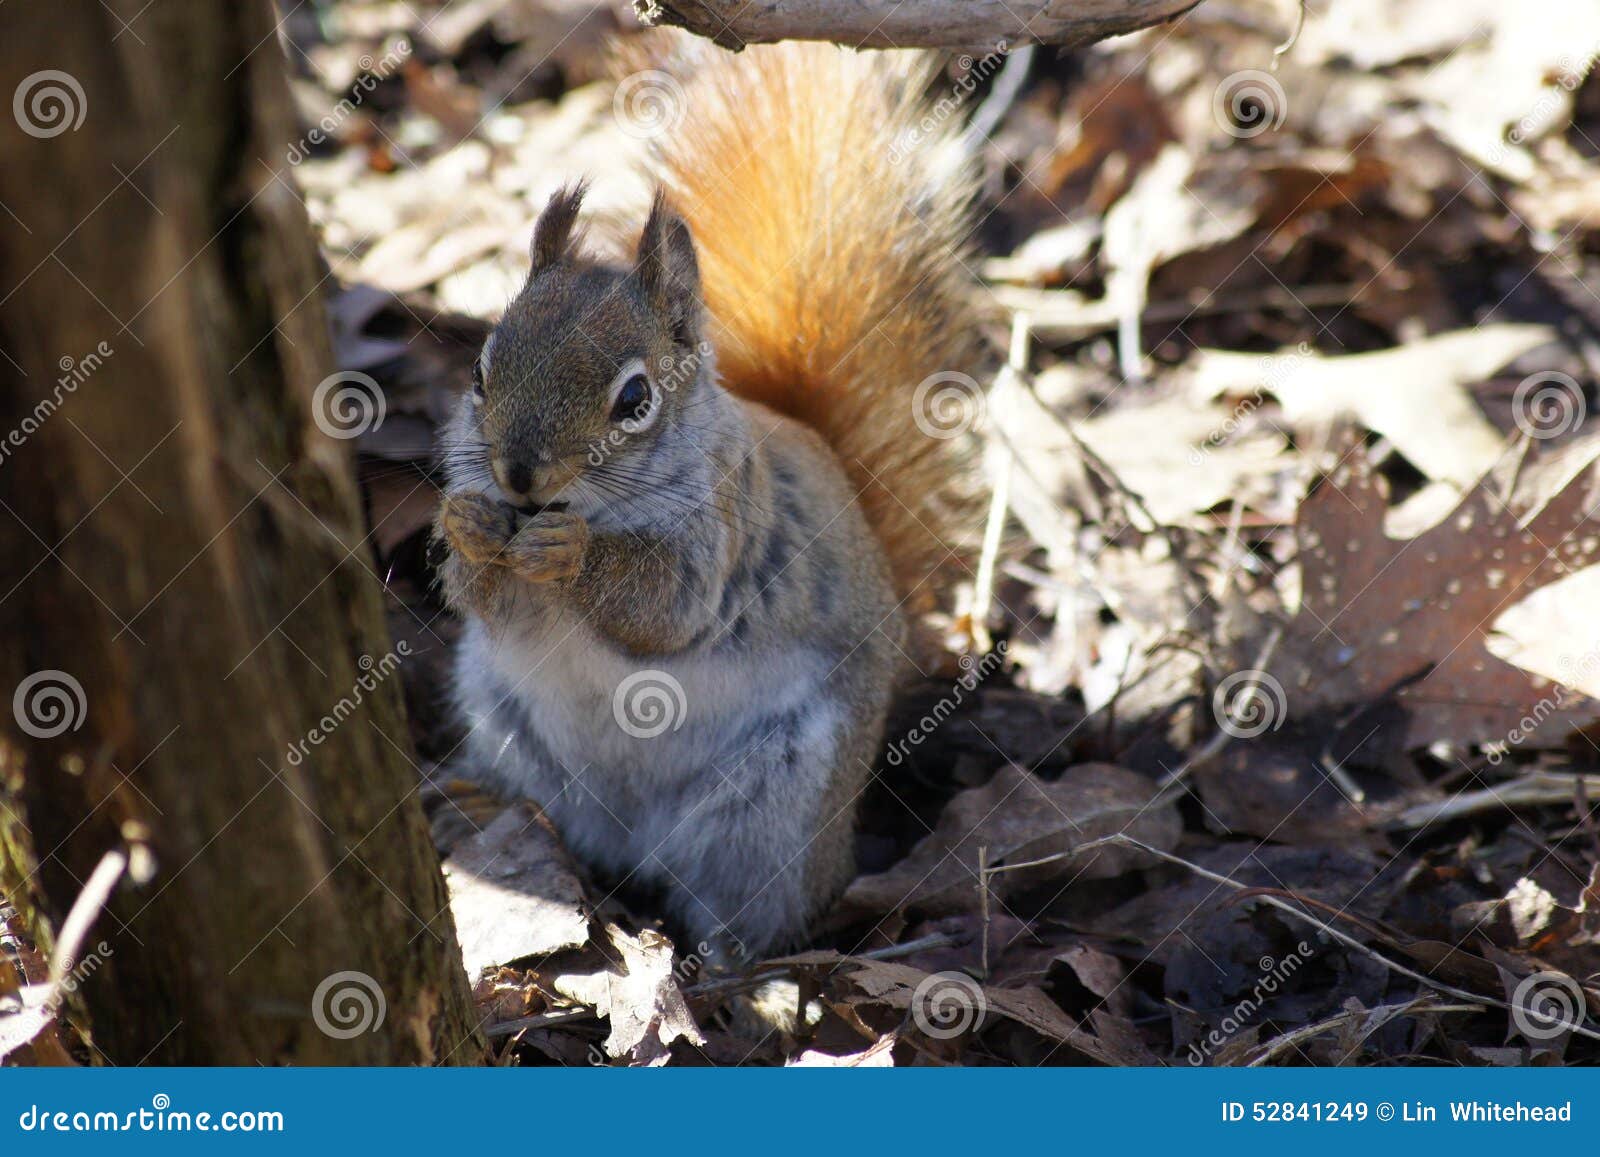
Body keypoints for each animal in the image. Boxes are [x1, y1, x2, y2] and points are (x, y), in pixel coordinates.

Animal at [434, 39, 984, 959]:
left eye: (635, 400)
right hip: (510, 729)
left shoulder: (724, 529)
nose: (518, 476)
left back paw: (729, 955)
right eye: (480, 370)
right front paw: (470, 525)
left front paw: (570, 555)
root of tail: (632, 834)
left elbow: (667, 608)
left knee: (757, 895)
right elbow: (487, 601)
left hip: (775, 803)